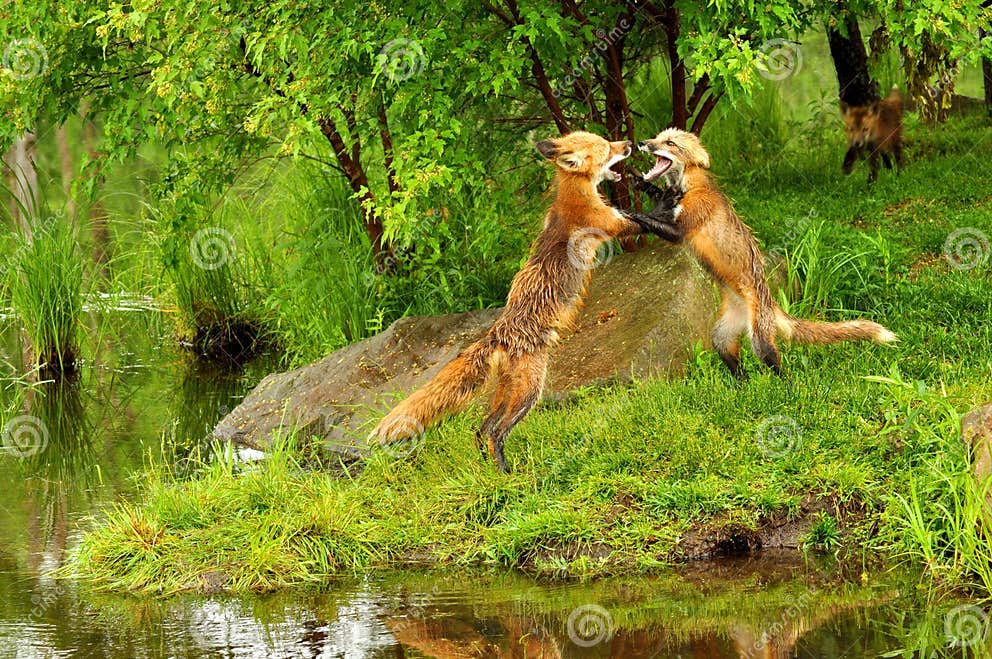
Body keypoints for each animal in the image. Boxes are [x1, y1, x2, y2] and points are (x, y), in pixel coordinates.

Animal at [371, 131, 683, 472]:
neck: (574, 196)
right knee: (497, 432)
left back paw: (489, 469)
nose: (627, 143)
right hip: (530, 391)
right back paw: (508, 473)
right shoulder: (613, 224)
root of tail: (497, 335)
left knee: (482, 428)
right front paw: (666, 201)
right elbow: (646, 219)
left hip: (505, 390)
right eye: (605, 148)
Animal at [632, 128, 896, 378]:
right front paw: (640, 183)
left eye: (670, 143)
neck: (688, 186)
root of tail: (769, 301)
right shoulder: (671, 210)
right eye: (657, 137)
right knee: (739, 369)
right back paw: (741, 389)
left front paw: (629, 213)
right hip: (721, 337)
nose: (641, 143)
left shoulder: (685, 226)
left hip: (760, 342)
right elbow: (657, 198)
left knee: (779, 367)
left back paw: (787, 389)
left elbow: (650, 221)